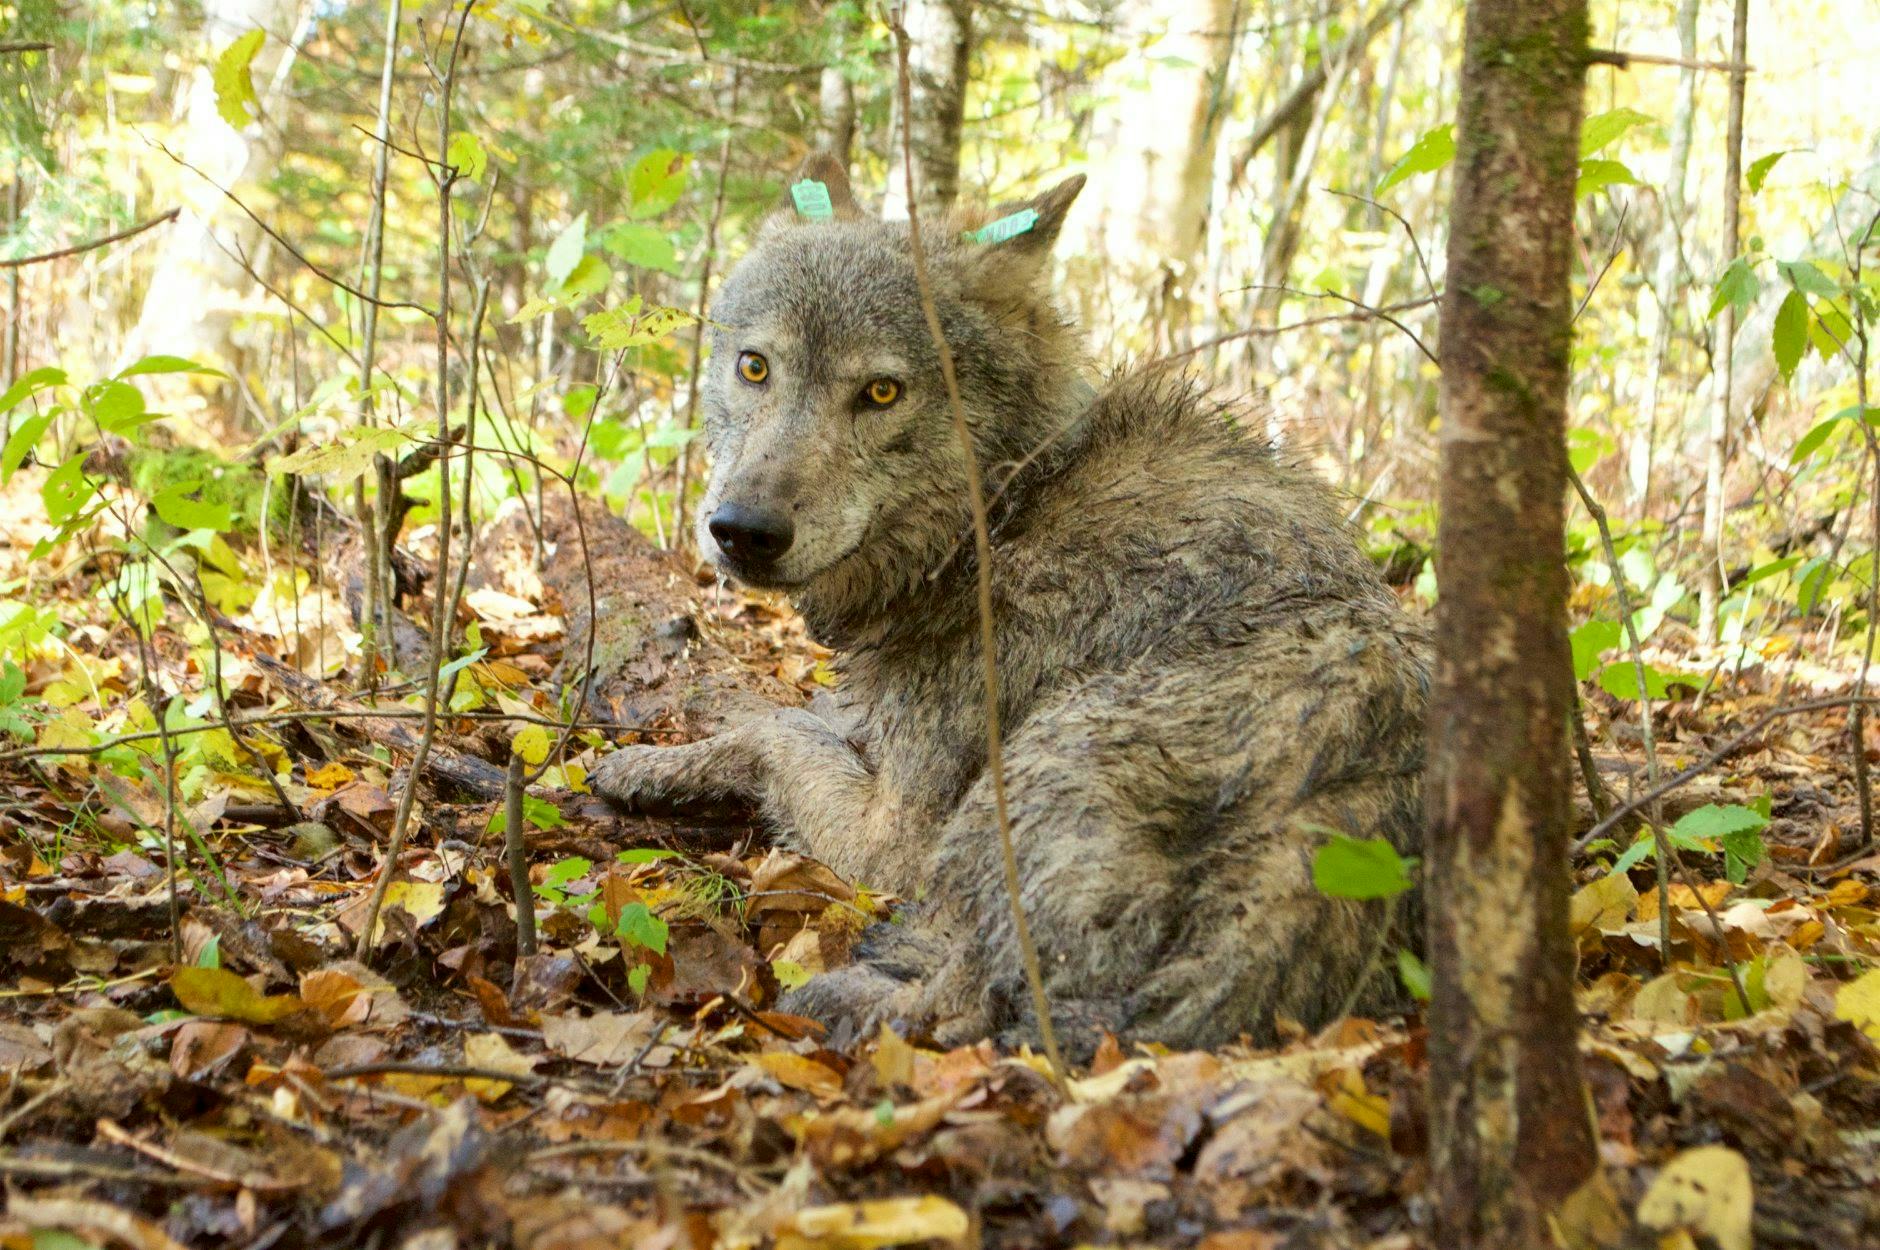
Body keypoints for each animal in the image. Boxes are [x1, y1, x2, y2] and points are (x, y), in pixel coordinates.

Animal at [593, 155, 1430, 1057]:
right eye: (755, 367)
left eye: (881, 392)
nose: (743, 531)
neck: (1005, 509)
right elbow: (803, 716)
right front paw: (656, 761)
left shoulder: (892, 837)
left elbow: (777, 728)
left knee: (961, 1004)